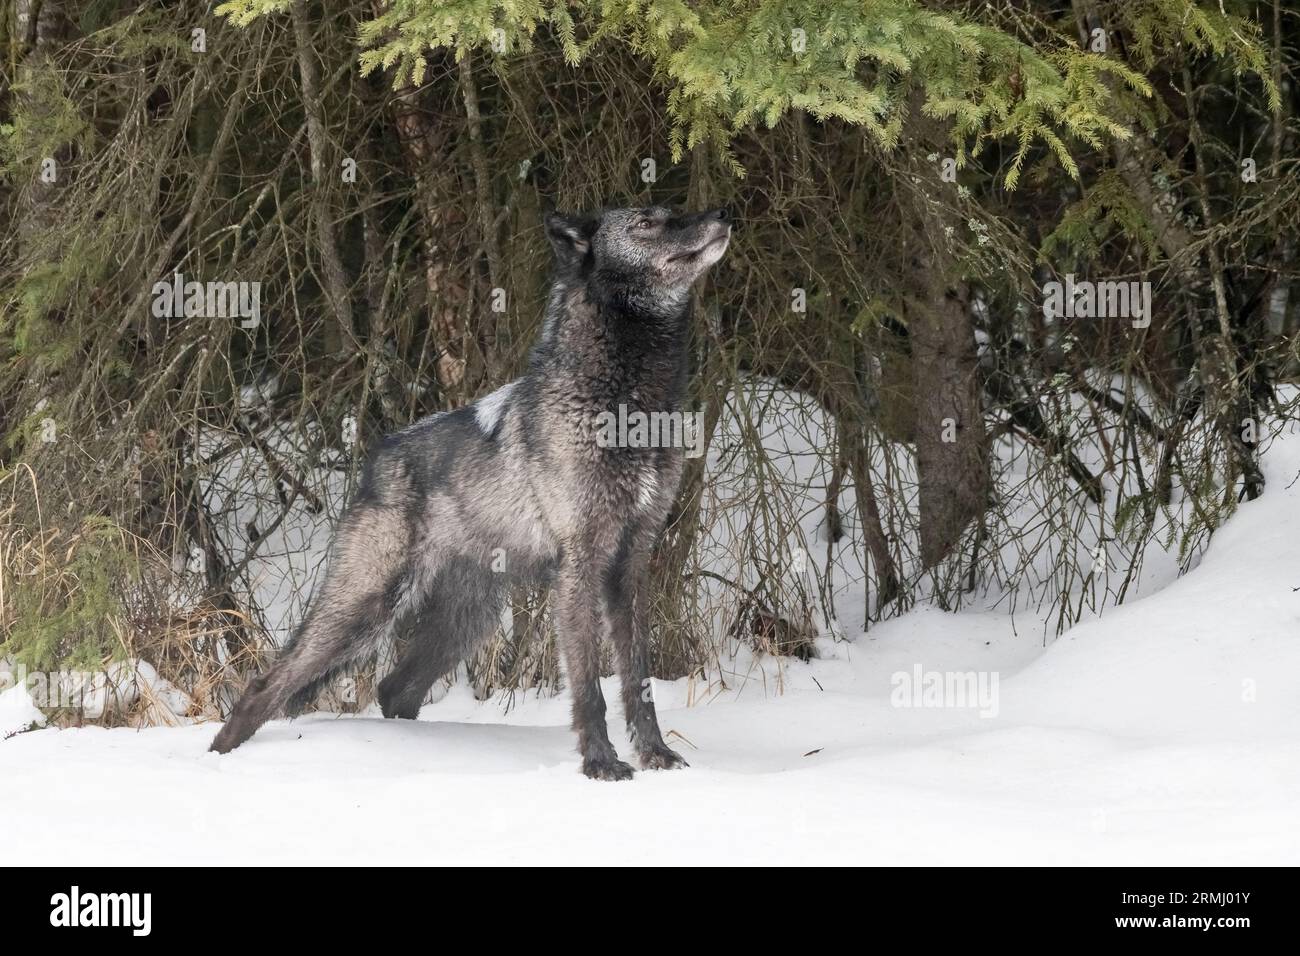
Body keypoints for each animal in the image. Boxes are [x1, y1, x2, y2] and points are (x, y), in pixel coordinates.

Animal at [209, 206, 731, 780]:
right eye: (646, 222)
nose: (722, 214)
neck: (627, 405)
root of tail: (377, 457)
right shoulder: (580, 567)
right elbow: (589, 687)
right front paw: (600, 763)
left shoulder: (630, 567)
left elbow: (639, 683)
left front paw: (656, 756)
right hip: (366, 607)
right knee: (269, 683)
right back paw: (219, 759)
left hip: (463, 623)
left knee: (394, 689)